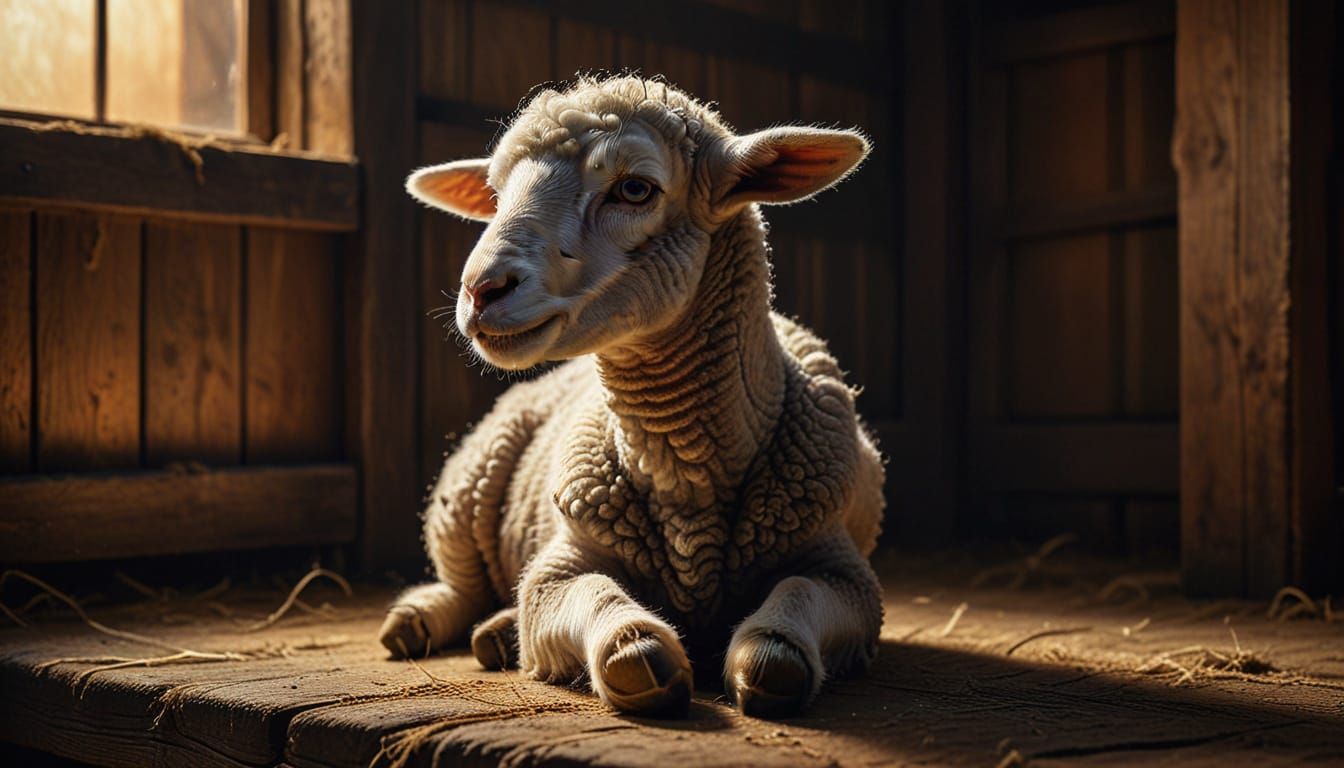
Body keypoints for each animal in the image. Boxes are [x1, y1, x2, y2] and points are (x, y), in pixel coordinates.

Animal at [381, 75, 884, 719]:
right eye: (494, 195)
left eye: (635, 188)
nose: (481, 288)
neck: (685, 482)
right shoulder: (563, 562)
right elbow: (587, 591)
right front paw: (635, 652)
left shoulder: (843, 570)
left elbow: (799, 594)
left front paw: (772, 655)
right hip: (465, 497)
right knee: (462, 583)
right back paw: (418, 620)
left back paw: (495, 633)